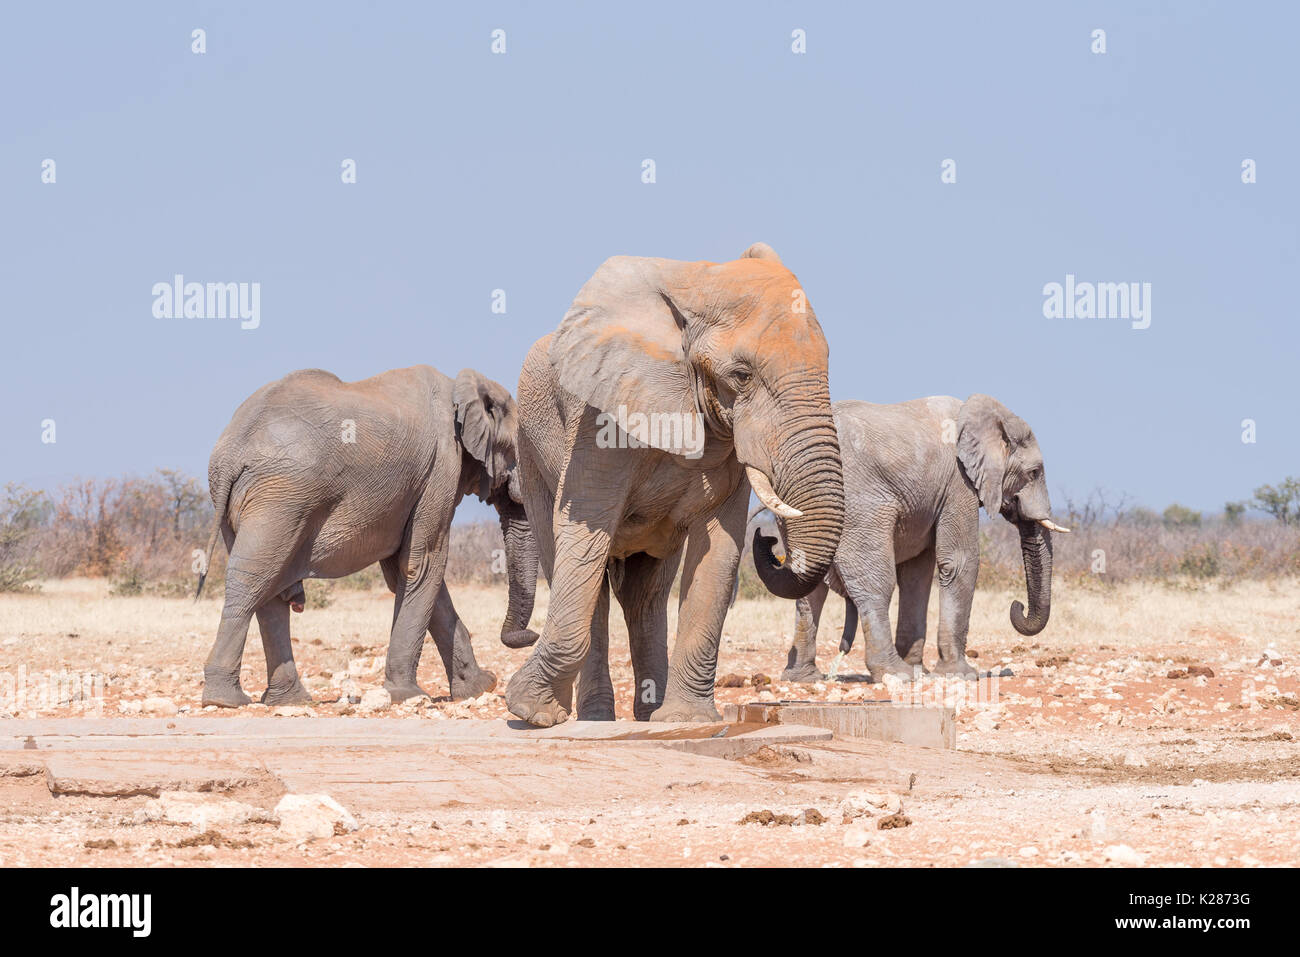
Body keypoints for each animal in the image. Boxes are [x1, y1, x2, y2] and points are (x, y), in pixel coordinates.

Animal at [195, 365, 540, 708]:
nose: (532, 636)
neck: (462, 387)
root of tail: (229, 455)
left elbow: (408, 572)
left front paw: (479, 688)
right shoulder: (440, 468)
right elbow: (423, 565)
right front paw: (410, 695)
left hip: (248, 502)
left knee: (269, 590)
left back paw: (289, 701)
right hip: (282, 496)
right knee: (252, 579)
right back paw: (226, 701)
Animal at [505, 242, 845, 727]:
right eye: (741, 375)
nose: (768, 538)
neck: (695, 284)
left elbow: (717, 550)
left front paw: (688, 721)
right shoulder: (598, 418)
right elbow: (585, 536)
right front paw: (528, 712)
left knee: (645, 595)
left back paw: (649, 715)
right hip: (531, 454)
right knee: (583, 574)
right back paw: (595, 720)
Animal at [768, 394, 1068, 683]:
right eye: (1034, 472)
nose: (1017, 605)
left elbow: (917, 574)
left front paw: (920, 670)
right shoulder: (958, 483)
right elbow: (959, 562)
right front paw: (960, 674)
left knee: (808, 584)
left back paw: (803, 678)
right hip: (857, 504)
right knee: (876, 580)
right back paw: (894, 674)